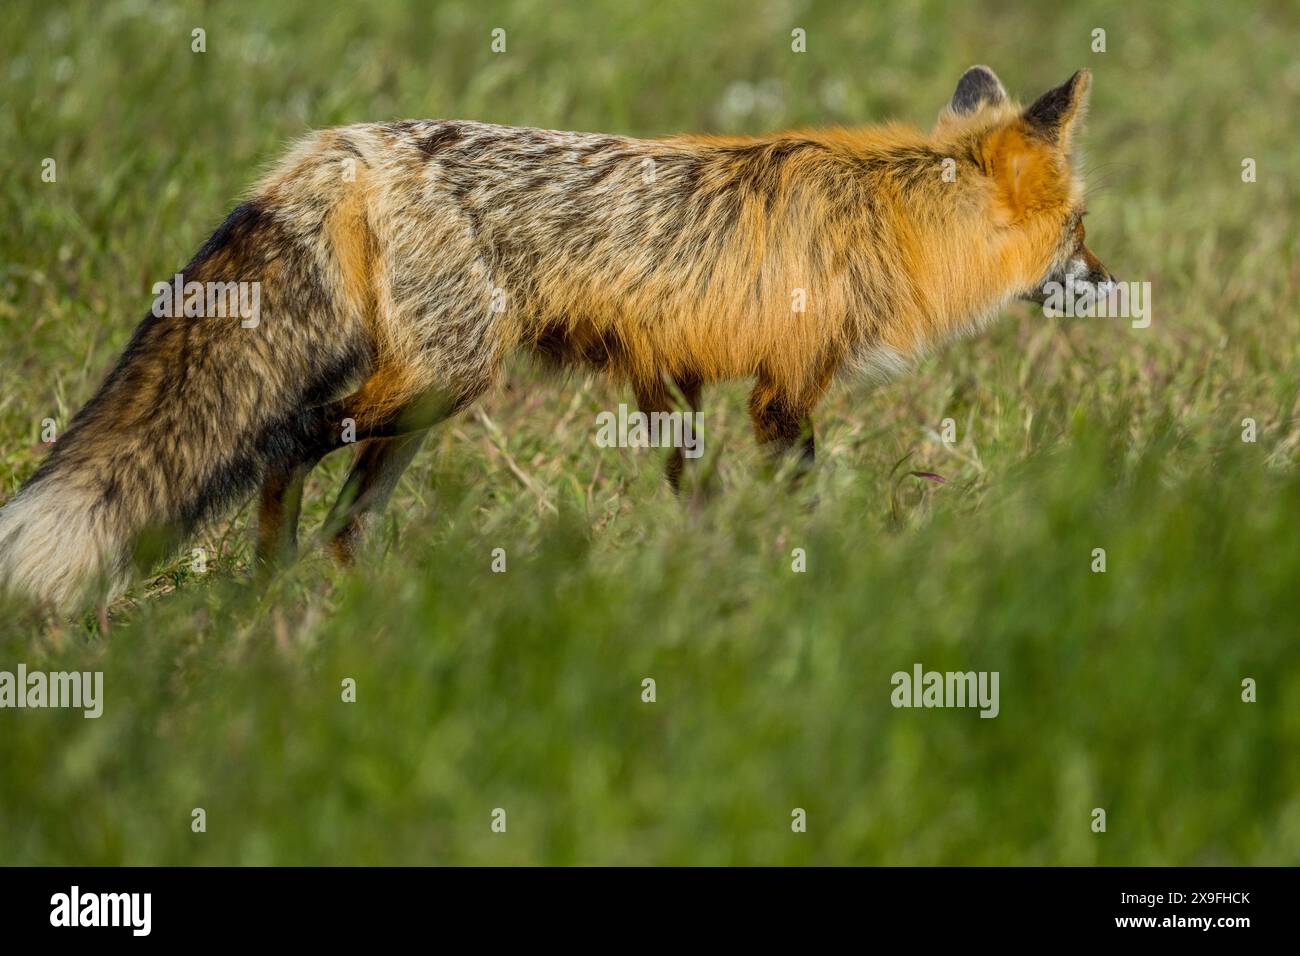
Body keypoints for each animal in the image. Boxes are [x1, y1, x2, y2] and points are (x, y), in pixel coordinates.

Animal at [0, 66, 1114, 613]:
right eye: (1080, 232)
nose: (1113, 285)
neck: (887, 214)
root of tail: (348, 143)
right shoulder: (784, 389)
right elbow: (797, 494)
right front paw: (818, 575)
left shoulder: (667, 380)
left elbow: (694, 495)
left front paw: (716, 581)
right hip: (446, 377)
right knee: (287, 440)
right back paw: (270, 595)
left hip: (427, 399)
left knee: (344, 519)